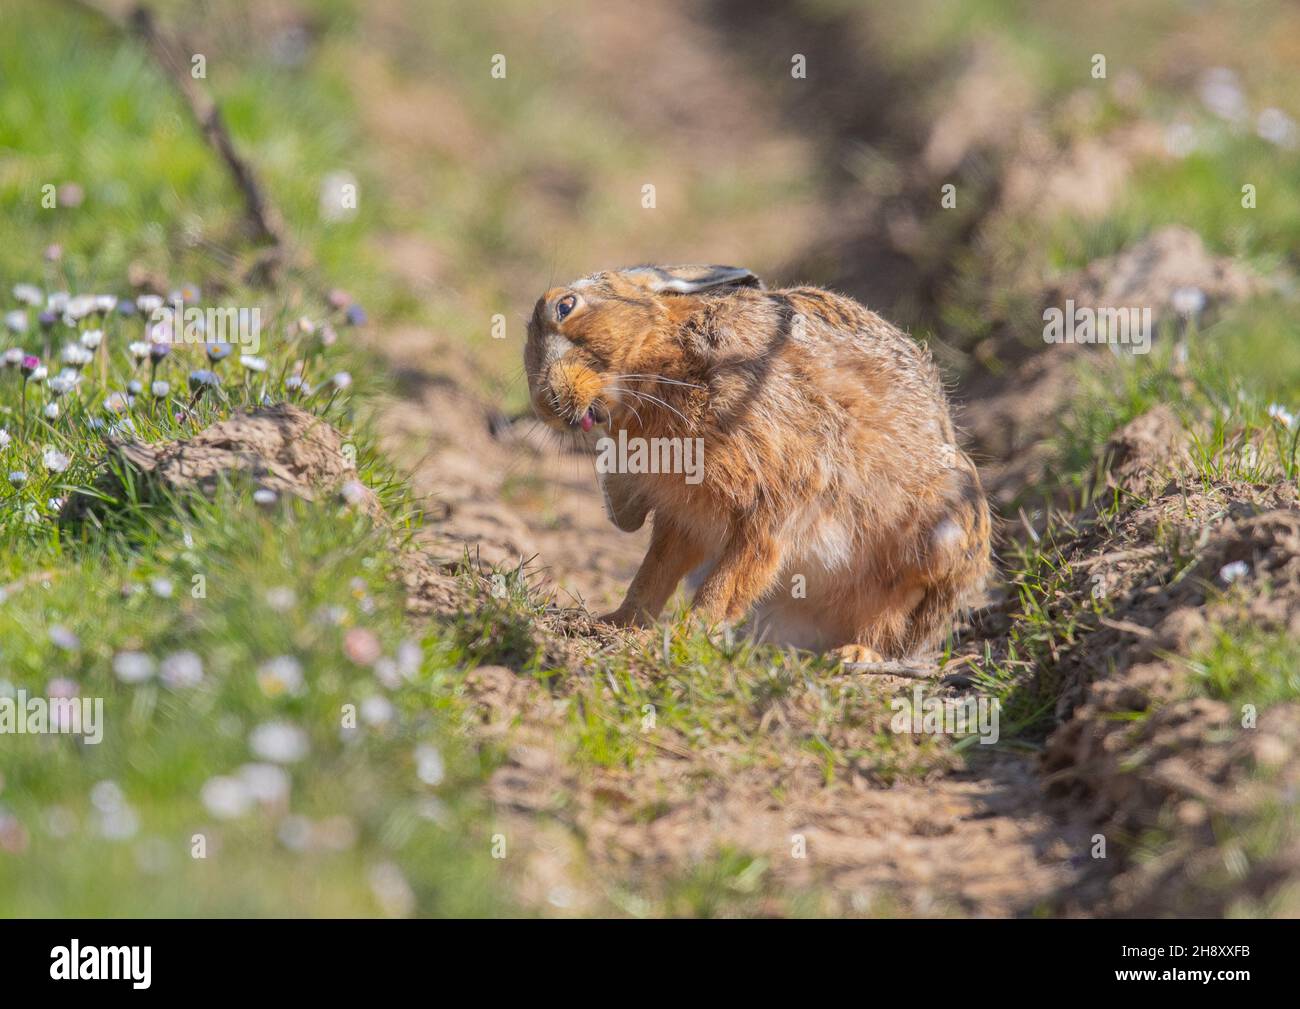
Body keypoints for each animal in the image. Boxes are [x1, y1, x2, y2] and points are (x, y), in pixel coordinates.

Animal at [523, 264, 991, 662]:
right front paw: (616, 625)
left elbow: (728, 580)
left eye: (565, 306)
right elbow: (654, 573)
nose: (546, 405)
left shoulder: (777, 502)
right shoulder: (685, 518)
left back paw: (855, 655)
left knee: (891, 625)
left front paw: (686, 635)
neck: (661, 356)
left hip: (938, 544)